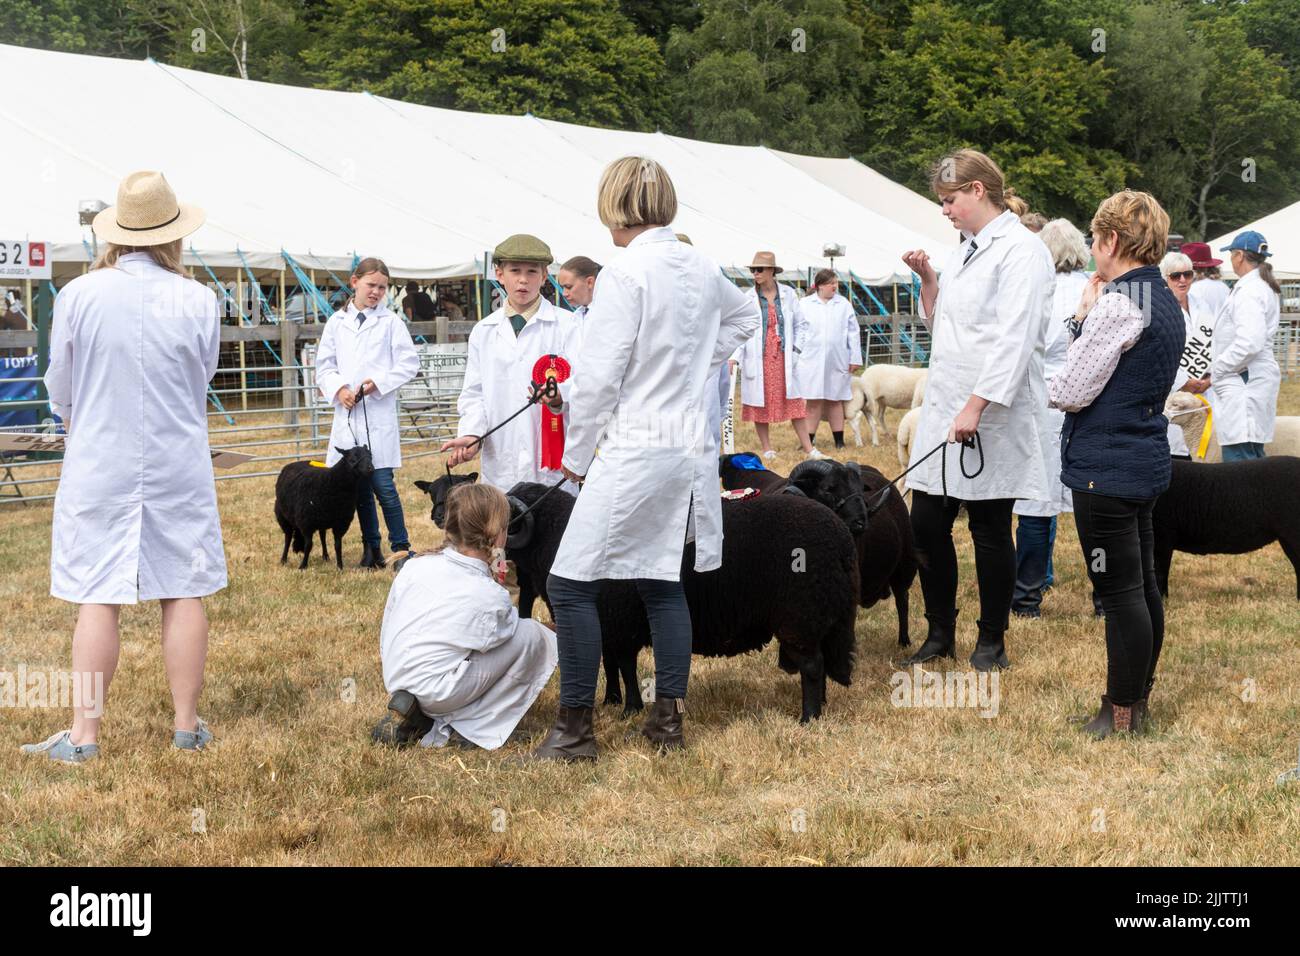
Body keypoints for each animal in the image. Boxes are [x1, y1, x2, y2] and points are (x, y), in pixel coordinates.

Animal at [505, 481, 860, 722]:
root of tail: (842, 540)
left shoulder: (622, 622)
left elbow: (625, 665)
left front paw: (630, 708)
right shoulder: (608, 623)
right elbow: (609, 662)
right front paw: (611, 700)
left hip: (801, 615)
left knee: (812, 665)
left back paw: (808, 717)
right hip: (819, 618)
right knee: (821, 662)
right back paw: (821, 706)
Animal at [720, 454, 917, 648]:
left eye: (861, 489)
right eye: (828, 489)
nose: (861, 522)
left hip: (904, 564)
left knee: (902, 600)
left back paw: (904, 641)